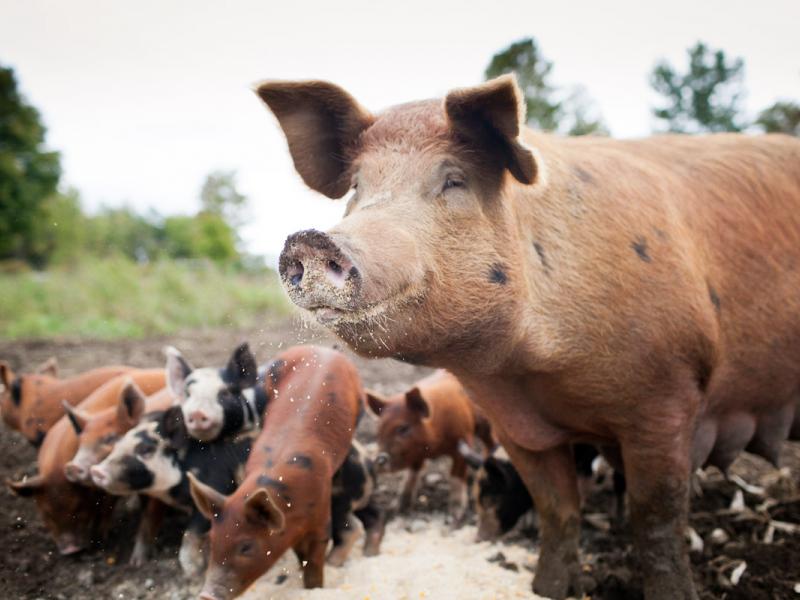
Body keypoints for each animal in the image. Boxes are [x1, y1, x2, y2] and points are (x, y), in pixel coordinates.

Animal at [90, 404, 254, 575]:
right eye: (116, 445)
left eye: (145, 449)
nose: (96, 470)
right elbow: (147, 523)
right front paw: (136, 563)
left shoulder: (217, 485)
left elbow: (191, 532)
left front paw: (193, 572)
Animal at [188, 345, 362, 599]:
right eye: (212, 540)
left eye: (246, 546)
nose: (206, 594)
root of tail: (323, 349)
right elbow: (300, 555)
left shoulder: (321, 515)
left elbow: (315, 560)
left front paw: (314, 587)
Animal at [366, 370, 495, 521]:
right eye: (379, 430)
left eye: (403, 428)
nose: (378, 458)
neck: (434, 448)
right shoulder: (415, 453)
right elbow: (411, 476)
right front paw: (397, 508)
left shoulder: (465, 439)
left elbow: (456, 476)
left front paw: (455, 514)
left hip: (487, 425)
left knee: (491, 443)